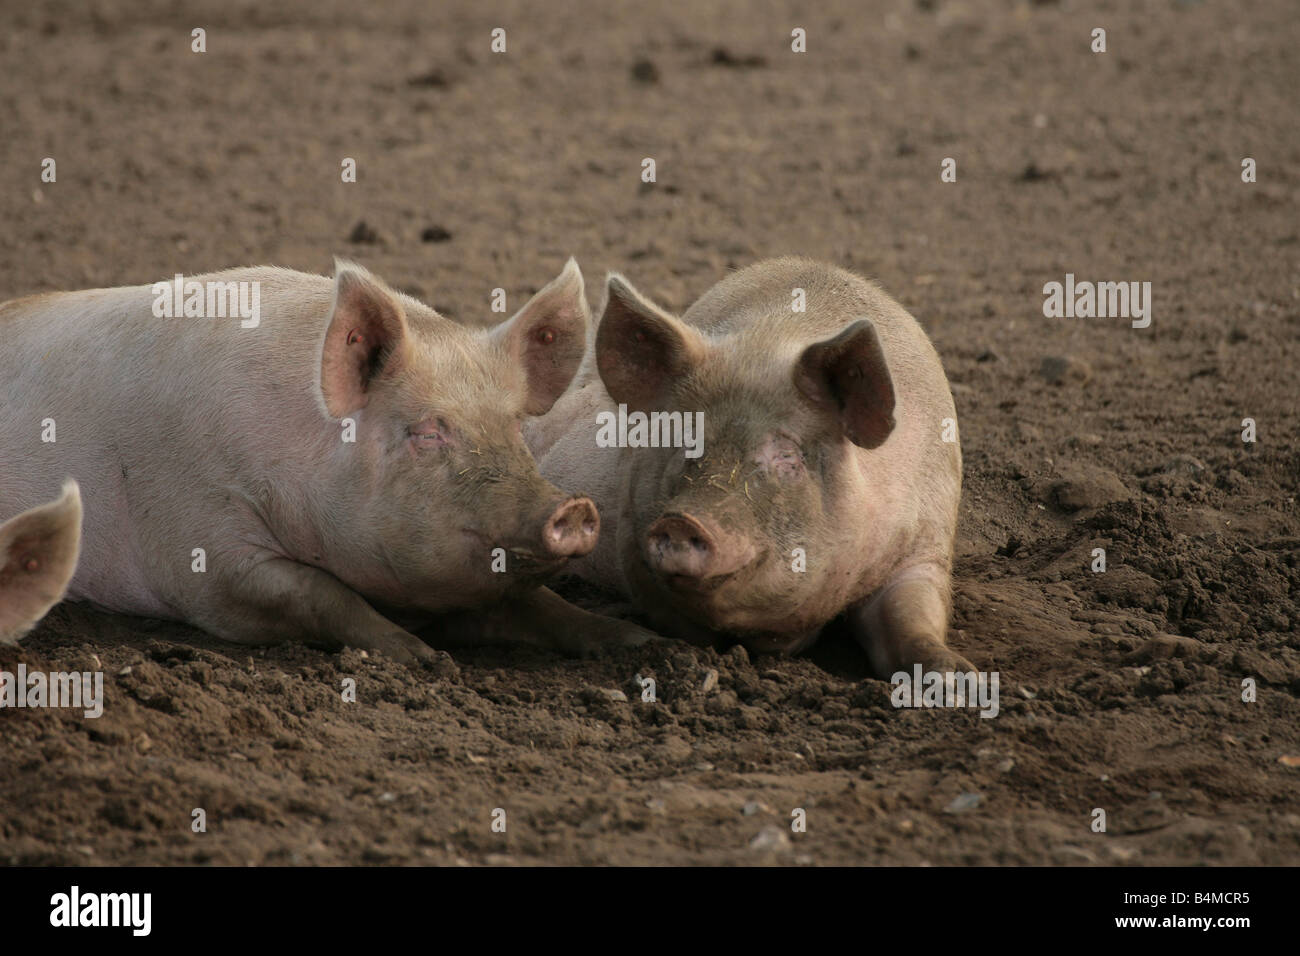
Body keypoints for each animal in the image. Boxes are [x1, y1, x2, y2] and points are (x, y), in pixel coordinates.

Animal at [529, 258, 973, 676]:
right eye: (684, 438)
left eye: (788, 457)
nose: (682, 521)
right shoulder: (633, 545)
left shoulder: (927, 543)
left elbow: (911, 615)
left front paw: (955, 679)